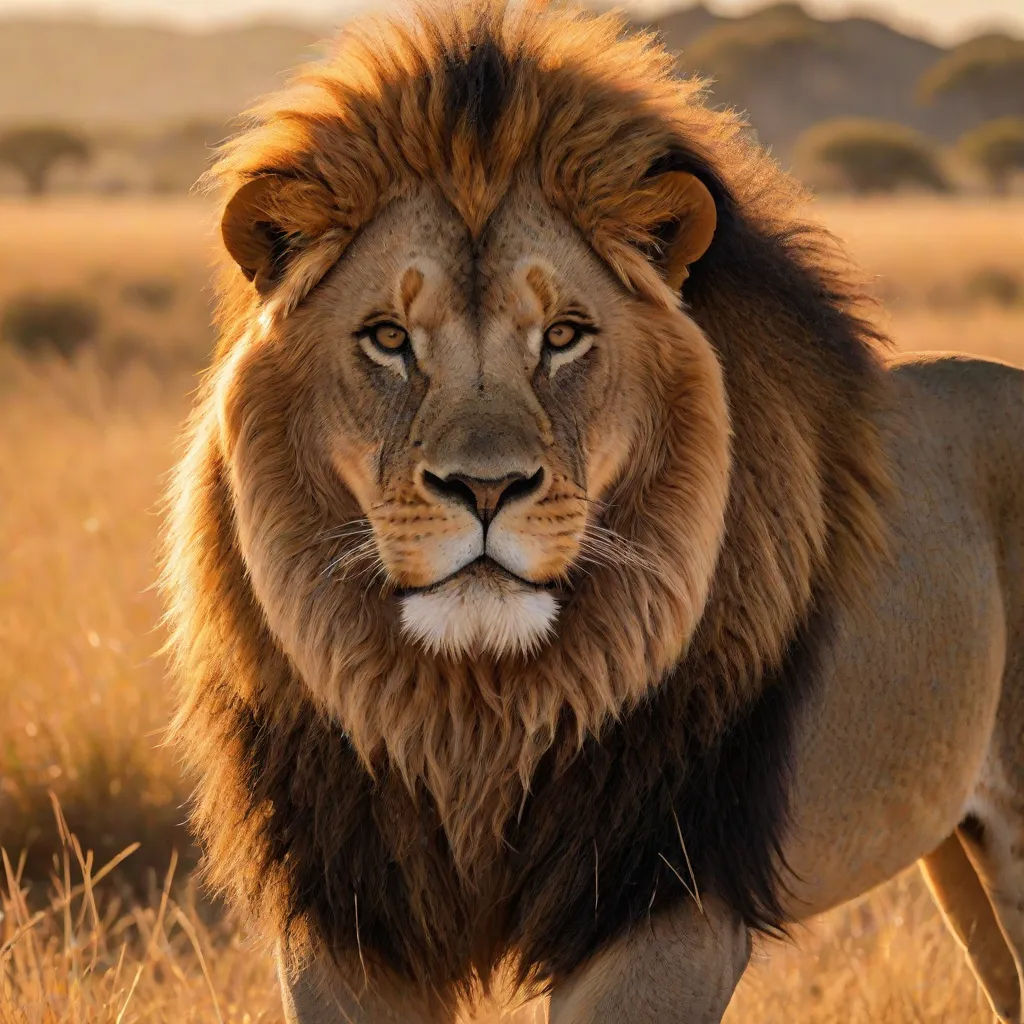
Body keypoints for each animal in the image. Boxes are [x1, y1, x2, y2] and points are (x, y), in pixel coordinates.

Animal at [162, 2, 1024, 1021]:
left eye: (564, 335)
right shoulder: (342, 912)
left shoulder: (670, 906)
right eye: (388, 339)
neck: (473, 718)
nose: (484, 489)